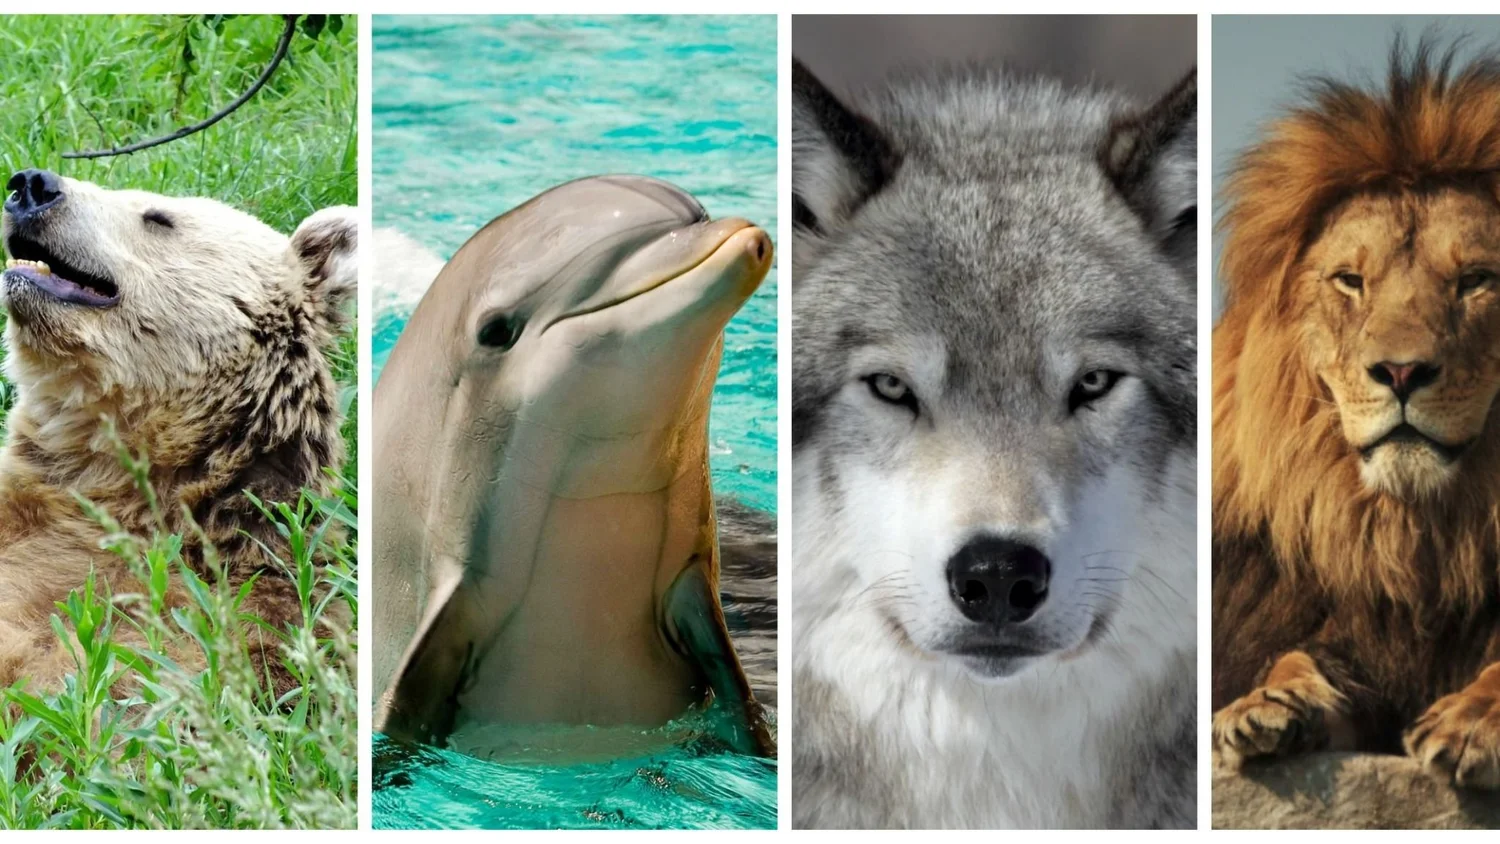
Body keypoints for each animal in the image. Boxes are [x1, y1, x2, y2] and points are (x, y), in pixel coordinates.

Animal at [1211, 39, 1500, 790]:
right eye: (1350, 281)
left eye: (1476, 281)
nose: (1400, 373)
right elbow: (1301, 656)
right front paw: (1267, 703)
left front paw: (1469, 723)